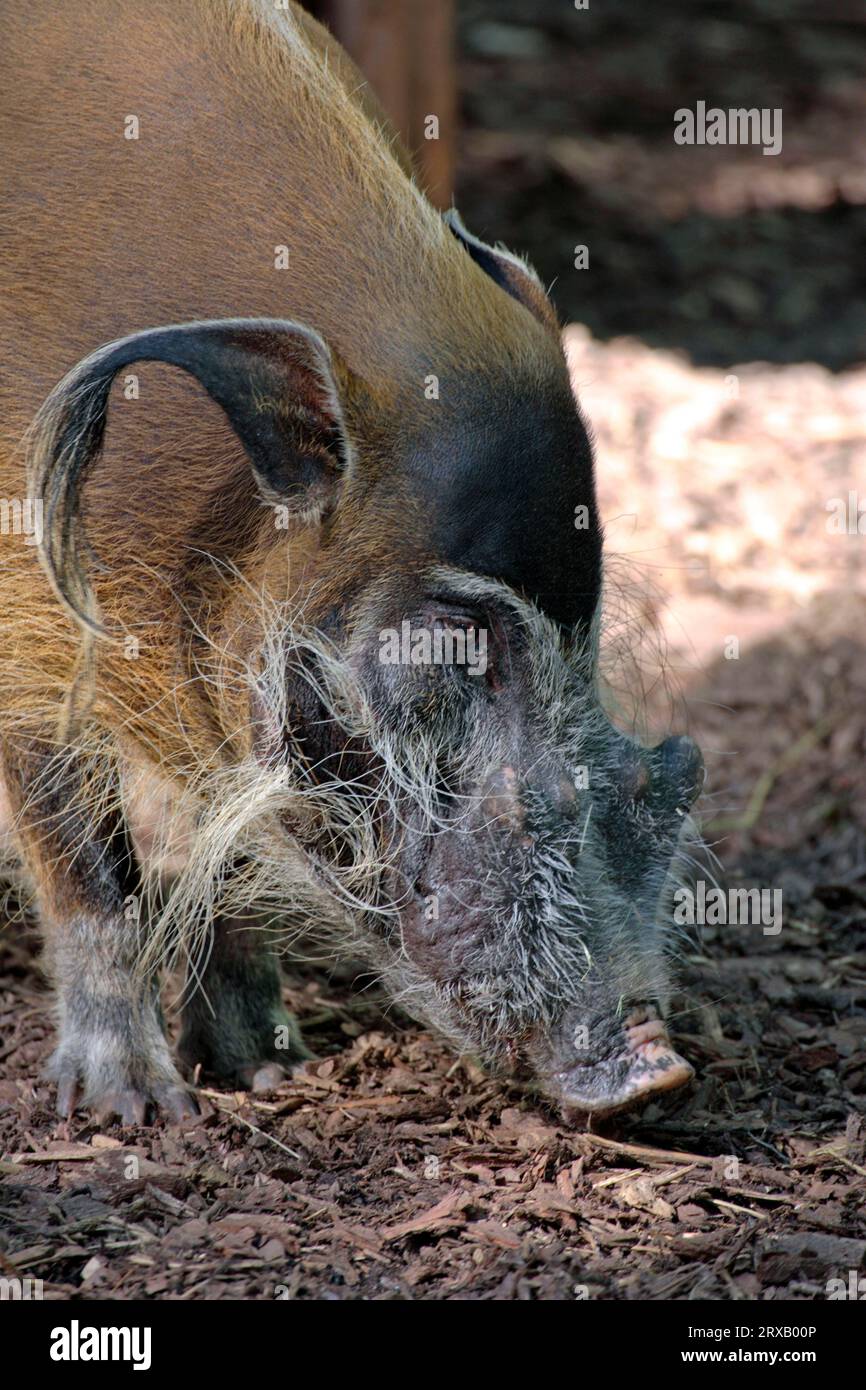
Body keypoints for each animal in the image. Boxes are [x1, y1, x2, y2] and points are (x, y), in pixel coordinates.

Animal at [0, 0, 704, 1123]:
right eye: (452, 637)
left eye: (585, 628)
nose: (655, 1069)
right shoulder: (29, 609)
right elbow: (88, 863)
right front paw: (138, 1109)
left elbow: (222, 840)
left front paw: (268, 1070)